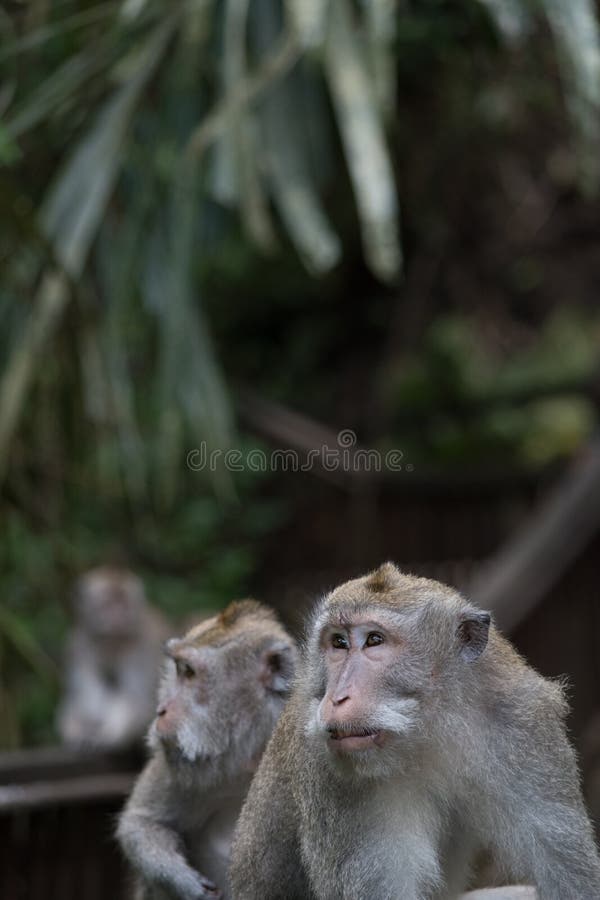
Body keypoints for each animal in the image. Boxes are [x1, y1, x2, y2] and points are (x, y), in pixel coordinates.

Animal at [57, 566, 169, 750]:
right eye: (107, 604)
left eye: (124, 605)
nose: (118, 618)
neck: (111, 643)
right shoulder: (81, 644)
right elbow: (85, 691)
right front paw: (81, 729)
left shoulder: (140, 647)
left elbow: (135, 697)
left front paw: (108, 735)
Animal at [117, 599, 297, 900]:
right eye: (178, 670)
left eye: (189, 673)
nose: (161, 710)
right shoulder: (177, 763)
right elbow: (140, 823)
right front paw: (186, 883)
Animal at [230, 563, 600, 900]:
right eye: (338, 642)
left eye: (374, 640)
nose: (336, 698)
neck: (430, 728)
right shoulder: (331, 768)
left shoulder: (523, 724)